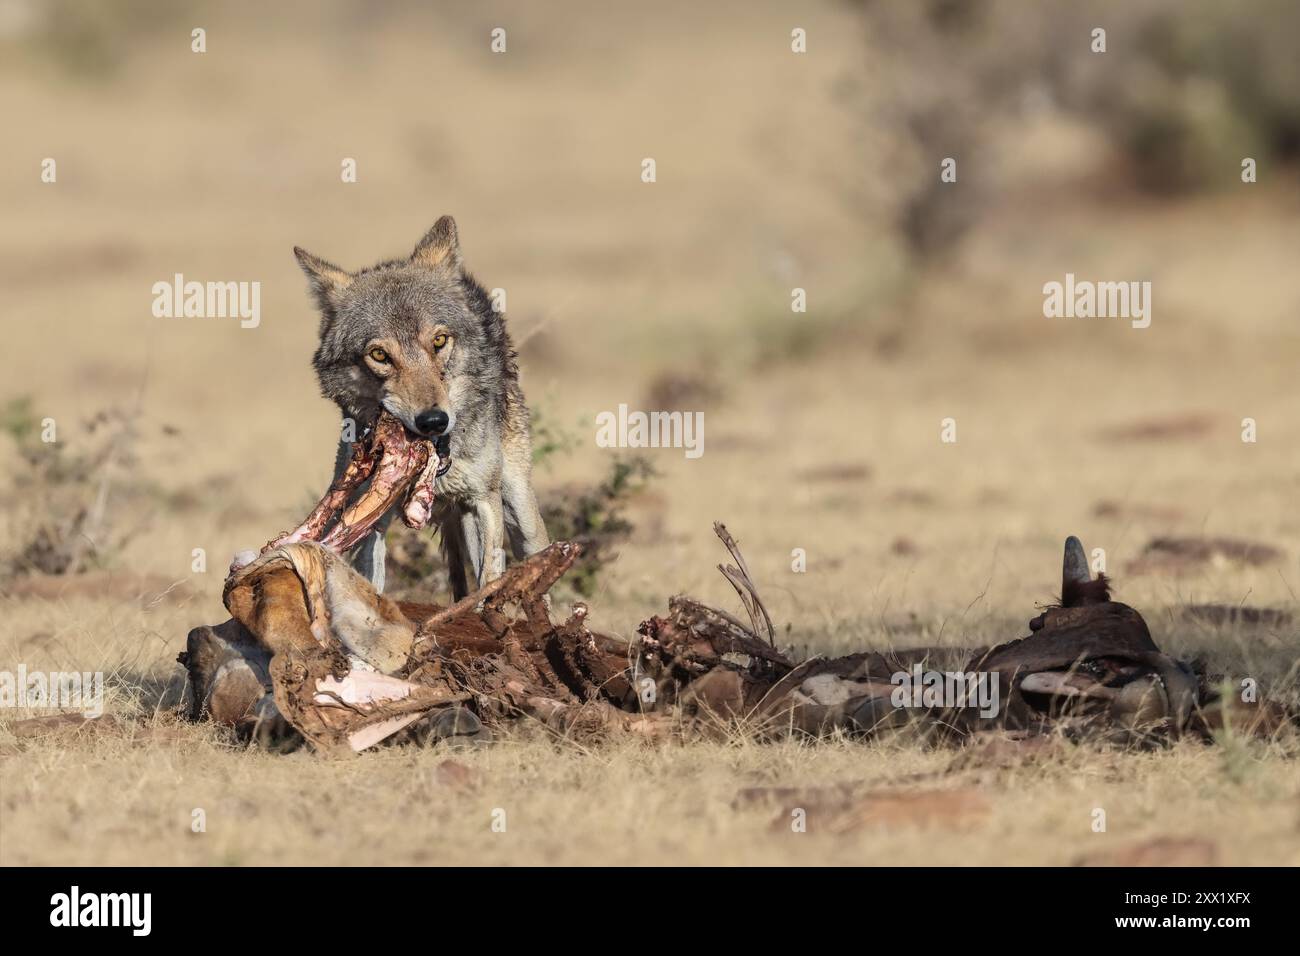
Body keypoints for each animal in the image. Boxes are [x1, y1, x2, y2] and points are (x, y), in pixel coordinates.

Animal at [292, 216, 549, 598]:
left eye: (439, 340)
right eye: (380, 355)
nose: (432, 421)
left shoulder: (484, 500)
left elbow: (488, 582)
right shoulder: (370, 518)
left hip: (521, 512)